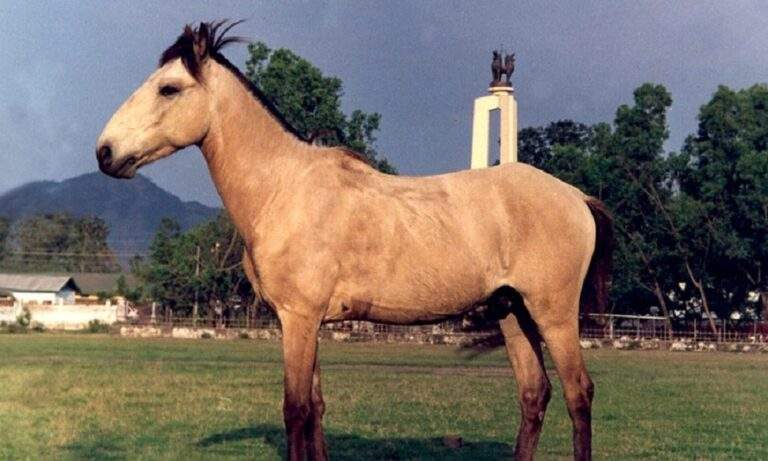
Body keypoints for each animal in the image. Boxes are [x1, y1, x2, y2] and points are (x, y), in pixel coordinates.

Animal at [96, 21, 613, 461]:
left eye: (168, 87)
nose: (105, 152)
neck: (284, 187)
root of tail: (576, 196)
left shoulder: (300, 320)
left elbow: (296, 411)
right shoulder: (300, 324)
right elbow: (316, 409)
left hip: (552, 314)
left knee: (578, 394)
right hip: (512, 313)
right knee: (534, 394)